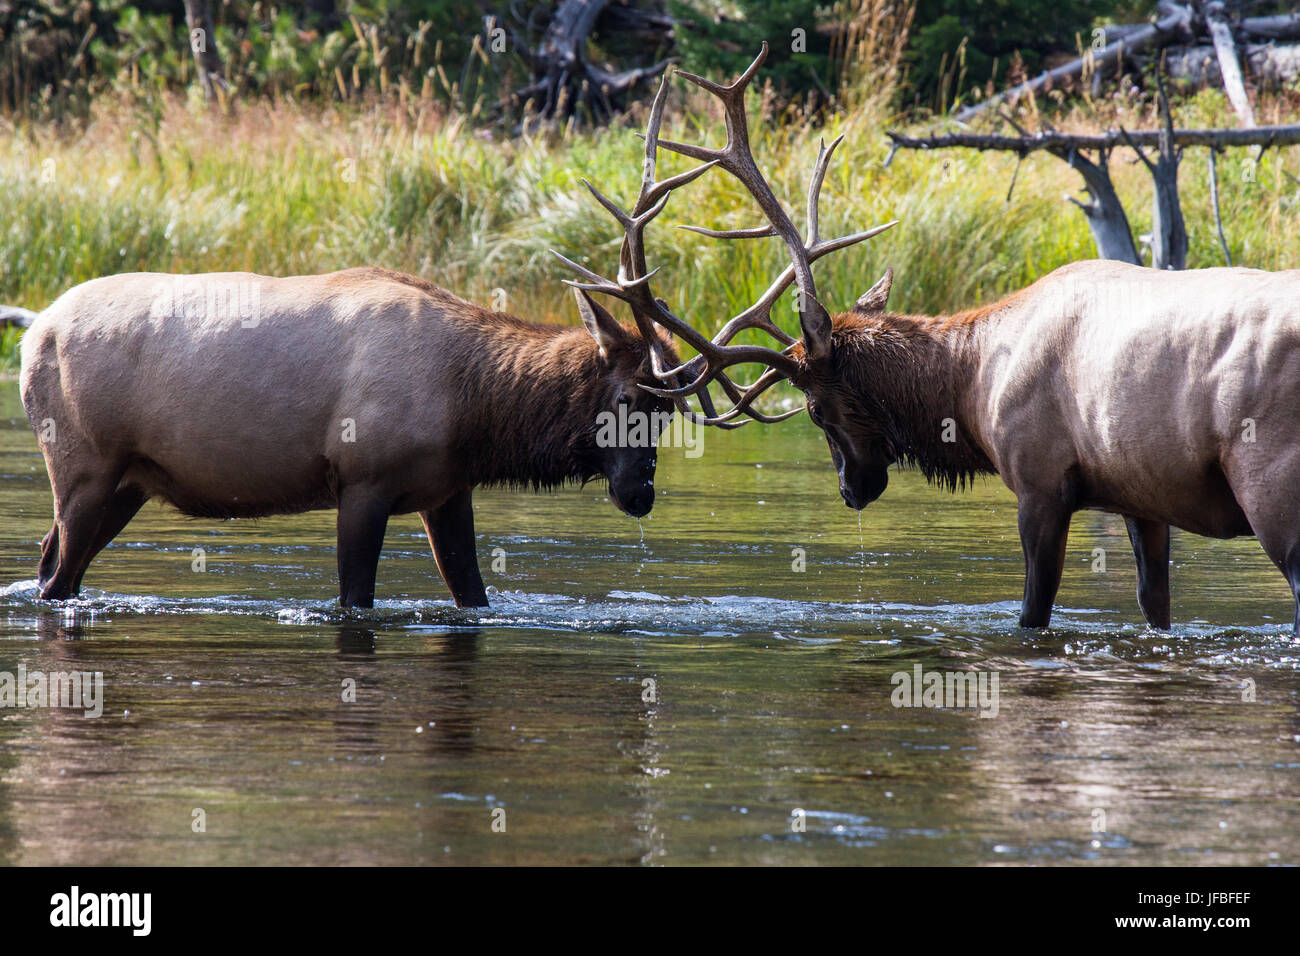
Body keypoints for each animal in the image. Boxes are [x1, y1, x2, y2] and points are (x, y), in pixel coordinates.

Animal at [17, 260, 695, 609]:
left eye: (671, 413)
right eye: (629, 399)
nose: (641, 494)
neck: (470, 410)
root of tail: (31, 335)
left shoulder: (448, 490)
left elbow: (472, 594)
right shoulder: (363, 479)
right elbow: (355, 600)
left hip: (130, 479)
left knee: (51, 561)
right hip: (82, 463)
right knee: (56, 576)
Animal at [560, 43, 1300, 636]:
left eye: (816, 409)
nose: (851, 491)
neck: (969, 389)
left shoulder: (1039, 481)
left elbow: (1032, 612)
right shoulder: (1140, 496)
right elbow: (1155, 608)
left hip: (1271, 482)